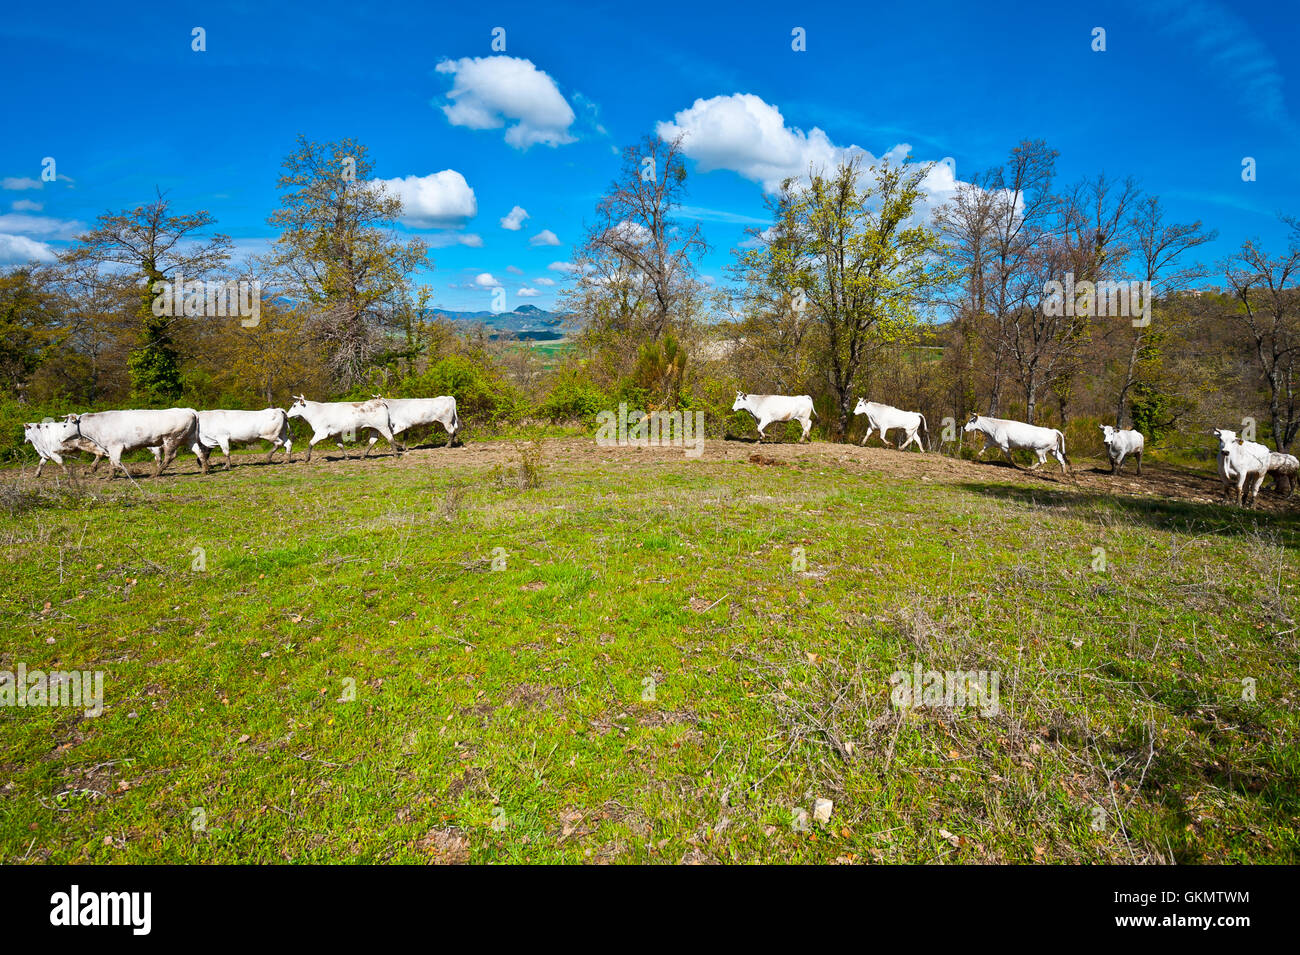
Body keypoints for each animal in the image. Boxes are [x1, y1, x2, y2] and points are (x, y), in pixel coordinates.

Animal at [68, 408, 207, 478]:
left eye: (66, 424)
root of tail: (190, 412)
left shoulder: (115, 446)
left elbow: (116, 462)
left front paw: (129, 473)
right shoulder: (109, 448)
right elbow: (112, 462)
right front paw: (110, 476)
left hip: (171, 438)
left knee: (170, 456)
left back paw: (155, 473)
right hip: (189, 438)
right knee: (199, 452)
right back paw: (205, 470)